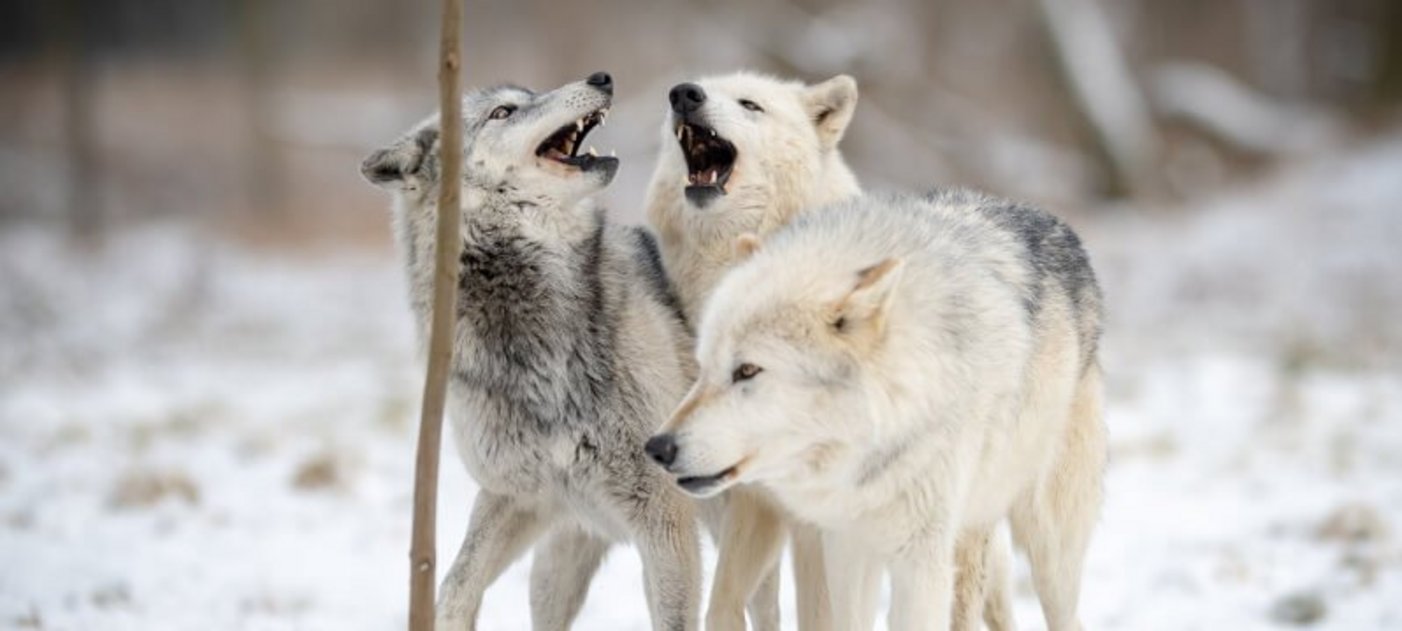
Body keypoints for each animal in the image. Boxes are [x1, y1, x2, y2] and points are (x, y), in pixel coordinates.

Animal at [360, 73, 706, 631]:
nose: (601, 77)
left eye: (527, 96)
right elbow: (453, 587)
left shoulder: (663, 515)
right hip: (560, 559)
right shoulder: (519, 496)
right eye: (503, 112)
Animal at [643, 73, 1014, 630]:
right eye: (693, 91)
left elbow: (819, 611)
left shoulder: (816, 525)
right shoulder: (753, 498)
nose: (683, 94)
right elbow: (724, 603)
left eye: (750, 104)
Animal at [650, 189, 1107, 631]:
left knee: (1067, 615)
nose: (657, 448)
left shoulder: (919, 562)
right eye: (704, 368)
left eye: (746, 370)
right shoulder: (845, 545)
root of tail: (1050, 218)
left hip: (1048, 548)